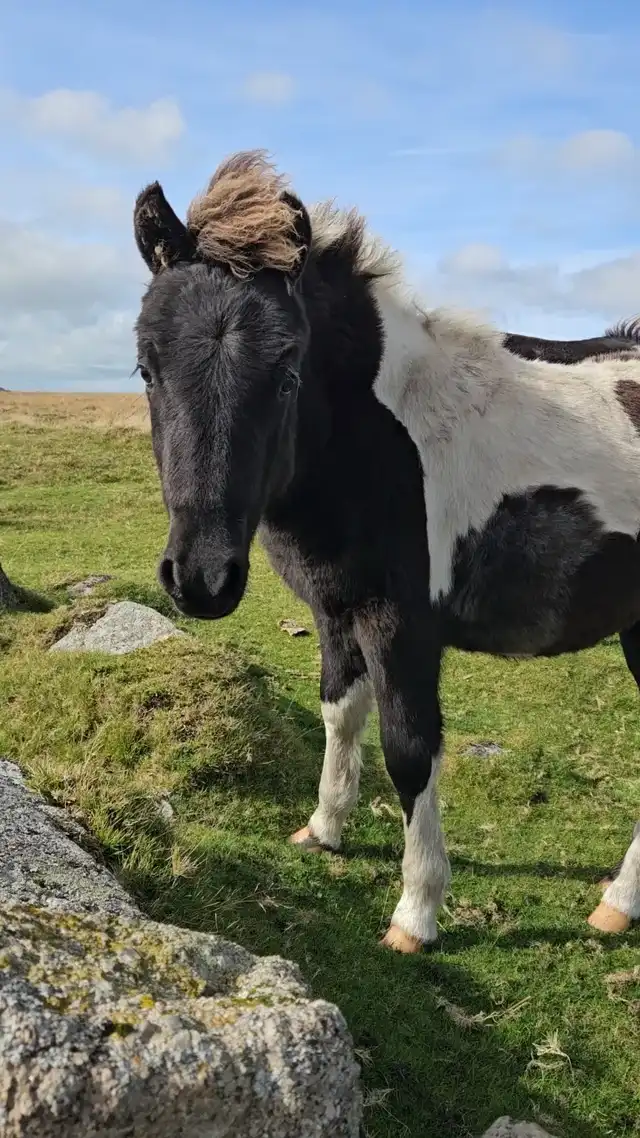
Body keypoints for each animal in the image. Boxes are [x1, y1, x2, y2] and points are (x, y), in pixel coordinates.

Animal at [133, 150, 640, 953]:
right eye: (147, 368)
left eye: (287, 371)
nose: (202, 578)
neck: (372, 436)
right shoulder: (335, 610)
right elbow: (341, 714)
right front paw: (323, 828)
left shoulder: (402, 625)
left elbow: (409, 751)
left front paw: (417, 912)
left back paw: (617, 901)